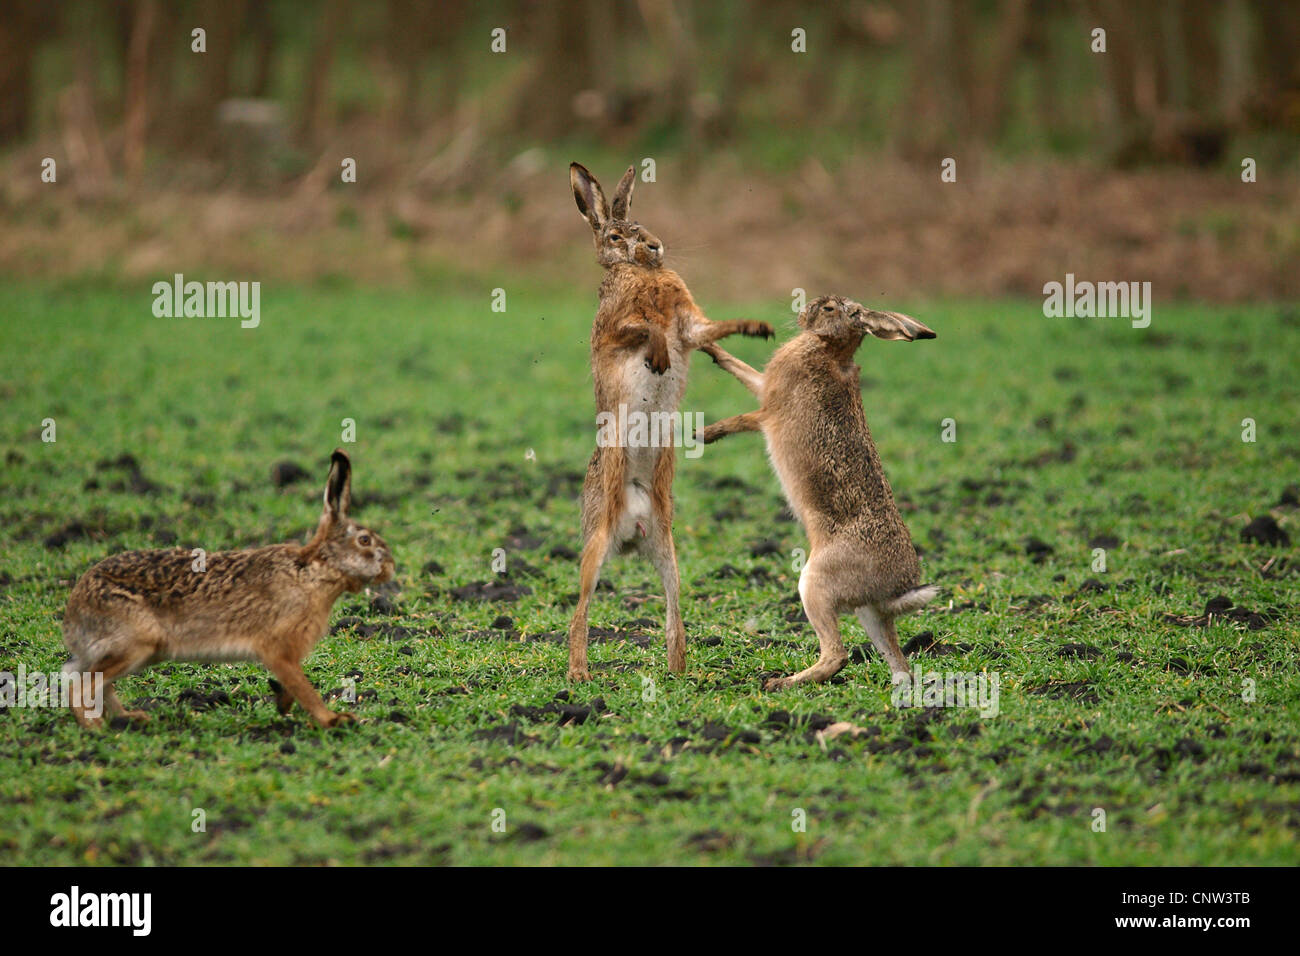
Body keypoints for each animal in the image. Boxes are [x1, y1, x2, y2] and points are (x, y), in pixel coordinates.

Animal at [61, 449, 394, 728]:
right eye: (365, 540)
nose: (390, 566)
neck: (312, 573)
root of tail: (73, 614)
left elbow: (292, 684)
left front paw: (283, 705)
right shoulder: (278, 646)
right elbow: (304, 688)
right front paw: (334, 719)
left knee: (90, 680)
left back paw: (130, 717)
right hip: (135, 643)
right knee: (82, 686)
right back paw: (97, 729)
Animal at [566, 162, 774, 681]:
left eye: (643, 229)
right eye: (615, 236)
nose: (656, 247)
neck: (639, 271)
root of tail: (632, 528)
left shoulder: (690, 320)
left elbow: (709, 328)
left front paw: (756, 327)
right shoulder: (612, 329)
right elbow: (644, 326)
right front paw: (658, 355)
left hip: (668, 550)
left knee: (673, 614)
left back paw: (679, 671)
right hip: (596, 544)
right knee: (579, 613)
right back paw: (579, 675)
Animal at [698, 294, 938, 689]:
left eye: (828, 308)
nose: (804, 309)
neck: (830, 350)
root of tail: (897, 589)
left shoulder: (769, 406)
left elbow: (744, 415)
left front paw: (702, 434)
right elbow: (738, 366)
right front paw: (709, 347)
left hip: (815, 584)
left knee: (836, 655)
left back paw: (778, 684)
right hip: (869, 613)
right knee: (898, 663)